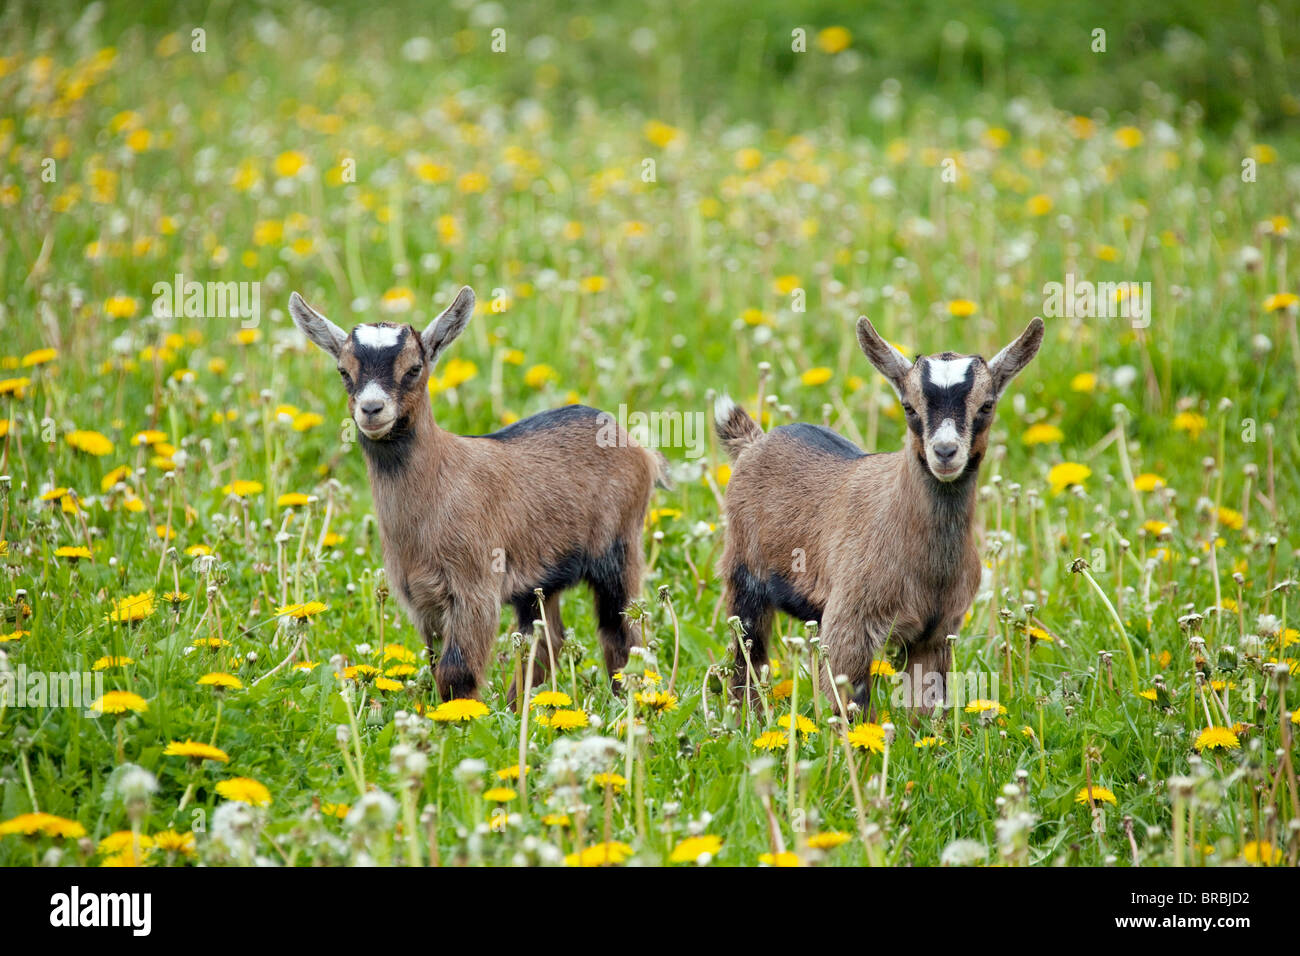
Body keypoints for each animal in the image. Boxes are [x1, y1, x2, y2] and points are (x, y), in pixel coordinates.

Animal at [288, 286, 666, 703]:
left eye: (414, 368)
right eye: (344, 371)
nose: (372, 409)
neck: (438, 486)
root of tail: (637, 447)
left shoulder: (474, 588)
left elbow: (457, 672)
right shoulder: (421, 598)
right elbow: (437, 662)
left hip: (619, 548)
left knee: (620, 632)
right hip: (540, 580)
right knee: (546, 638)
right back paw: (521, 706)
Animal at [714, 315, 1043, 715]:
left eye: (986, 406)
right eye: (909, 407)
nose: (945, 452)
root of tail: (754, 442)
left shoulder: (936, 634)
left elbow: (925, 710)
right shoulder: (850, 625)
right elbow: (850, 706)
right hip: (744, 576)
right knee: (747, 657)